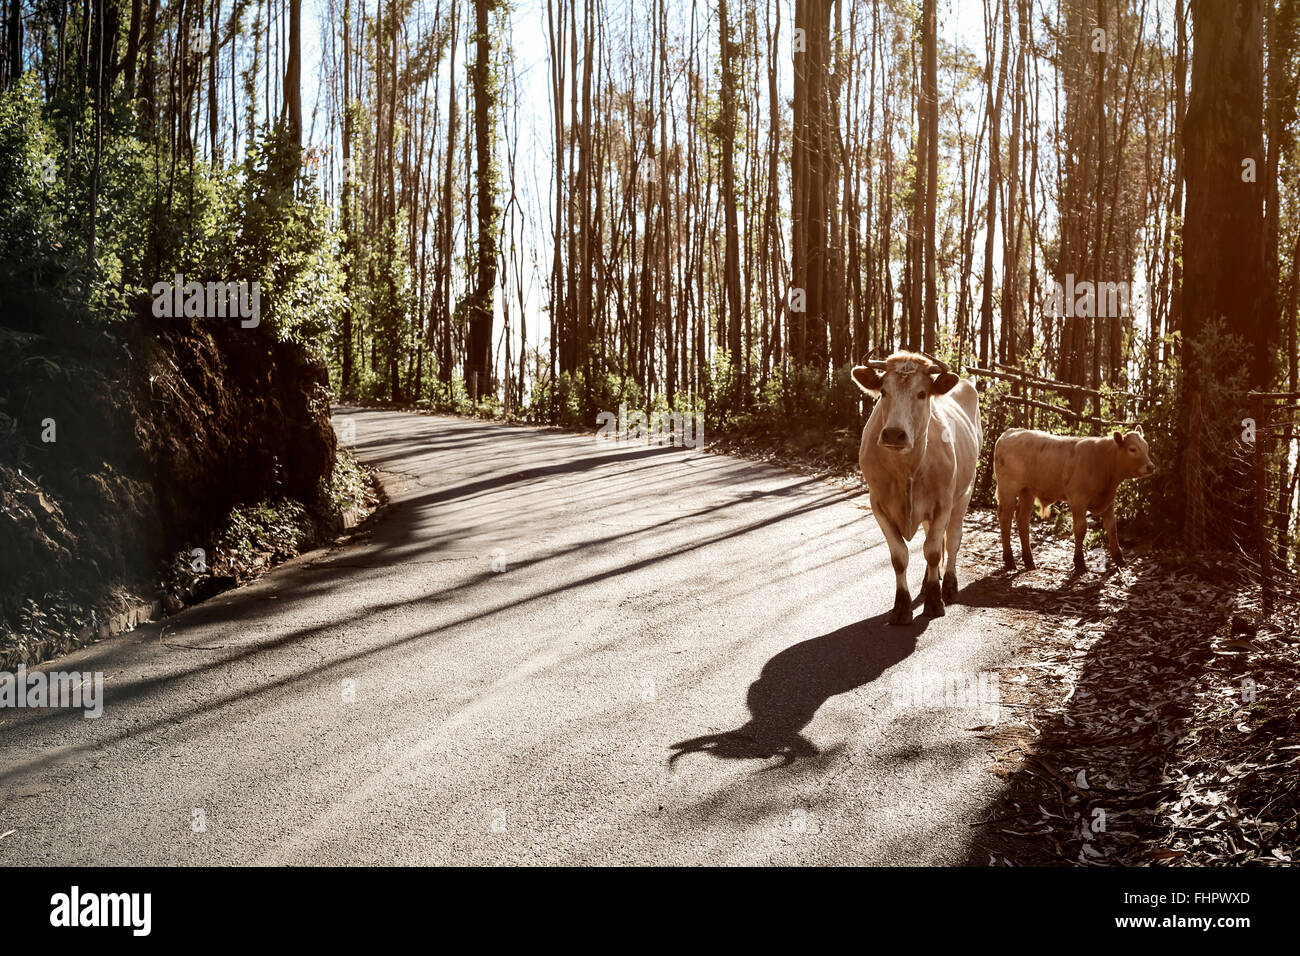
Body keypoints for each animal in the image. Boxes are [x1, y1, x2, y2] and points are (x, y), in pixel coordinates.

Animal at [851, 351, 982, 625]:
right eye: (884, 391)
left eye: (922, 393)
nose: (893, 433)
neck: (907, 468)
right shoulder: (878, 505)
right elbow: (899, 557)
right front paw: (902, 606)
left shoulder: (943, 503)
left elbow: (932, 551)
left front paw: (934, 601)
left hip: (964, 494)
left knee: (952, 540)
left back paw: (949, 585)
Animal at [993, 426, 1155, 573]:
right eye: (1132, 449)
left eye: (1146, 447)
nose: (1150, 467)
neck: (1102, 461)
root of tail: (1010, 432)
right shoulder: (1078, 500)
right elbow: (1080, 529)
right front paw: (1079, 562)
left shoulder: (1109, 502)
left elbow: (1112, 528)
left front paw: (1119, 559)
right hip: (1008, 489)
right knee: (1005, 519)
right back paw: (1009, 561)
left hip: (1027, 491)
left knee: (1023, 520)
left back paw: (1029, 561)